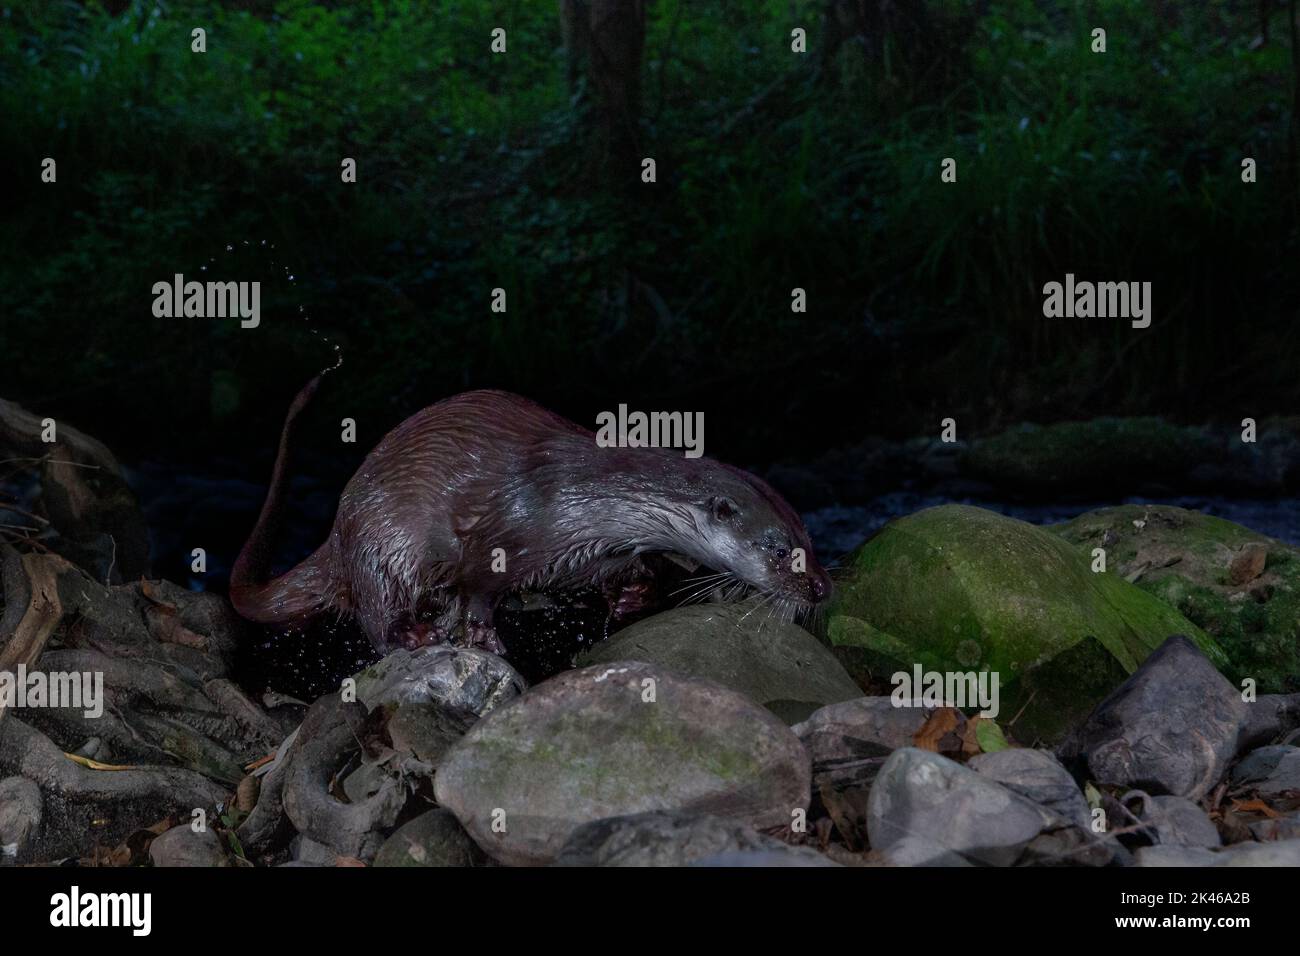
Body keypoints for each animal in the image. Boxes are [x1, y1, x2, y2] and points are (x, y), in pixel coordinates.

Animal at [230, 376, 831, 655]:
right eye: (781, 551)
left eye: (809, 538)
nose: (822, 588)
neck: (590, 498)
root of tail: (338, 530)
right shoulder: (511, 530)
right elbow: (477, 583)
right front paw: (482, 635)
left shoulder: (593, 552)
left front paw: (634, 596)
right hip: (383, 538)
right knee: (375, 609)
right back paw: (414, 634)